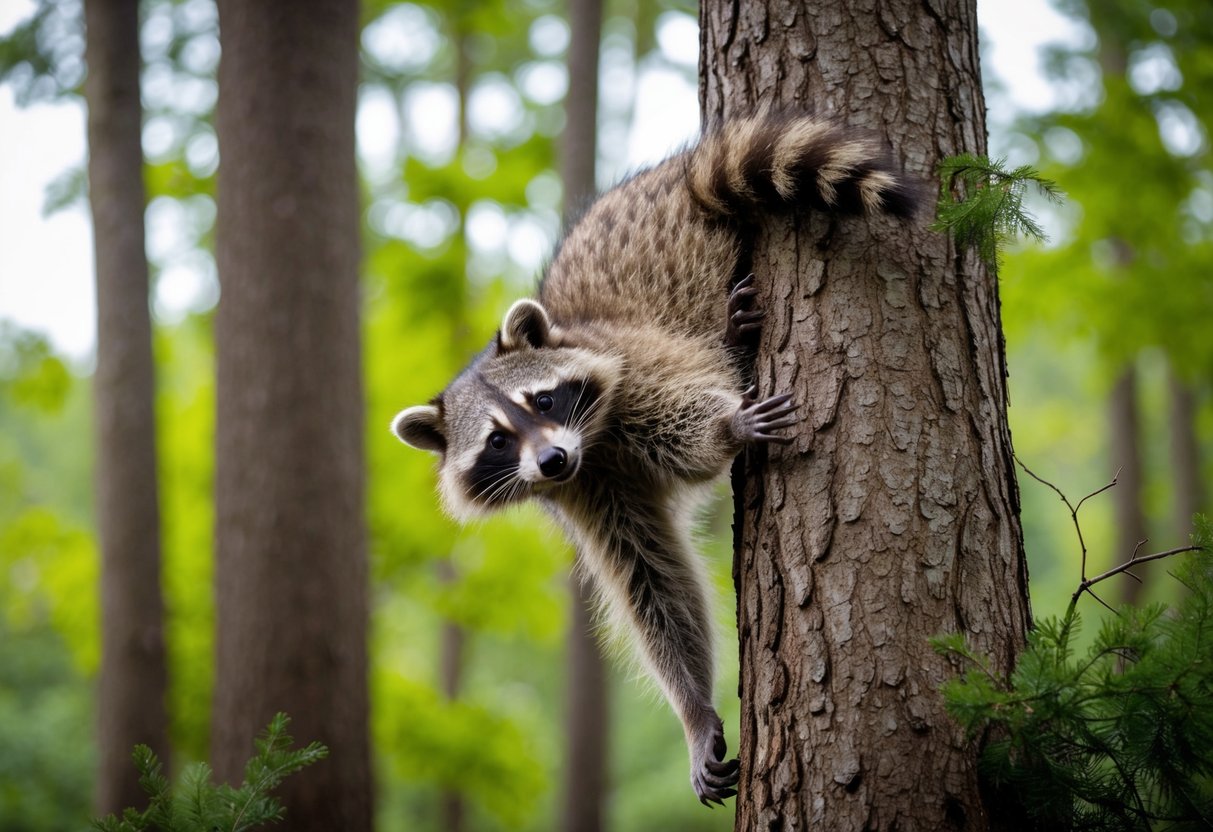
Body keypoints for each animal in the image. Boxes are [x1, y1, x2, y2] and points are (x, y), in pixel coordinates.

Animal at [392, 114, 919, 805]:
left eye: (543, 399)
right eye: (497, 442)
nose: (553, 459)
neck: (592, 446)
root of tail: (679, 171)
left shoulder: (633, 358)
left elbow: (686, 410)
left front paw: (725, 426)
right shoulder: (587, 492)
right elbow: (652, 580)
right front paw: (693, 710)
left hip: (695, 251)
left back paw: (731, 332)